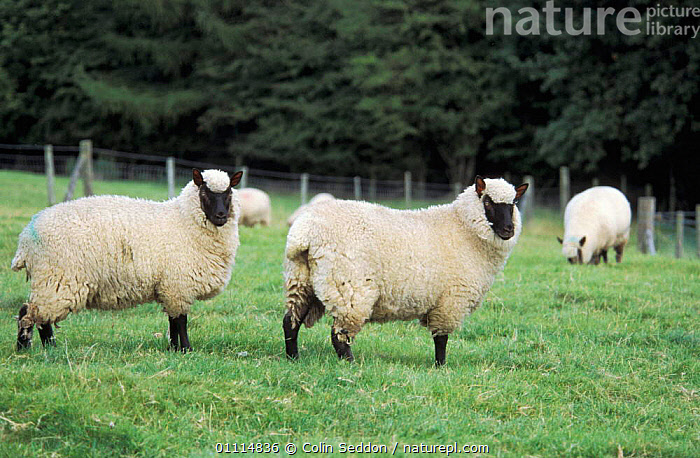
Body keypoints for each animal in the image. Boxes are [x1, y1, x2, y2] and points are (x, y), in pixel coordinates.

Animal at [11, 168, 243, 351]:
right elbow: (181, 321)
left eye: (229, 192)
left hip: (50, 280)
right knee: (31, 313)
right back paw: (32, 347)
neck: (184, 220)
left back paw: (45, 348)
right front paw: (186, 349)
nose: (221, 215)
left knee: (36, 314)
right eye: (205, 192)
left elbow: (173, 322)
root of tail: (26, 237)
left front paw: (174, 349)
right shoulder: (178, 285)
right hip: (57, 279)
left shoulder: (169, 286)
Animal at [282, 176, 528, 366]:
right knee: (339, 334)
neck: (463, 229)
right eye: (487, 202)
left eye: (514, 203)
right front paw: (441, 367)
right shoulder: (451, 300)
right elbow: (441, 339)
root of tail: (305, 232)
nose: (508, 229)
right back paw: (351, 364)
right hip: (350, 288)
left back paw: (293, 358)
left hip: (302, 280)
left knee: (290, 322)